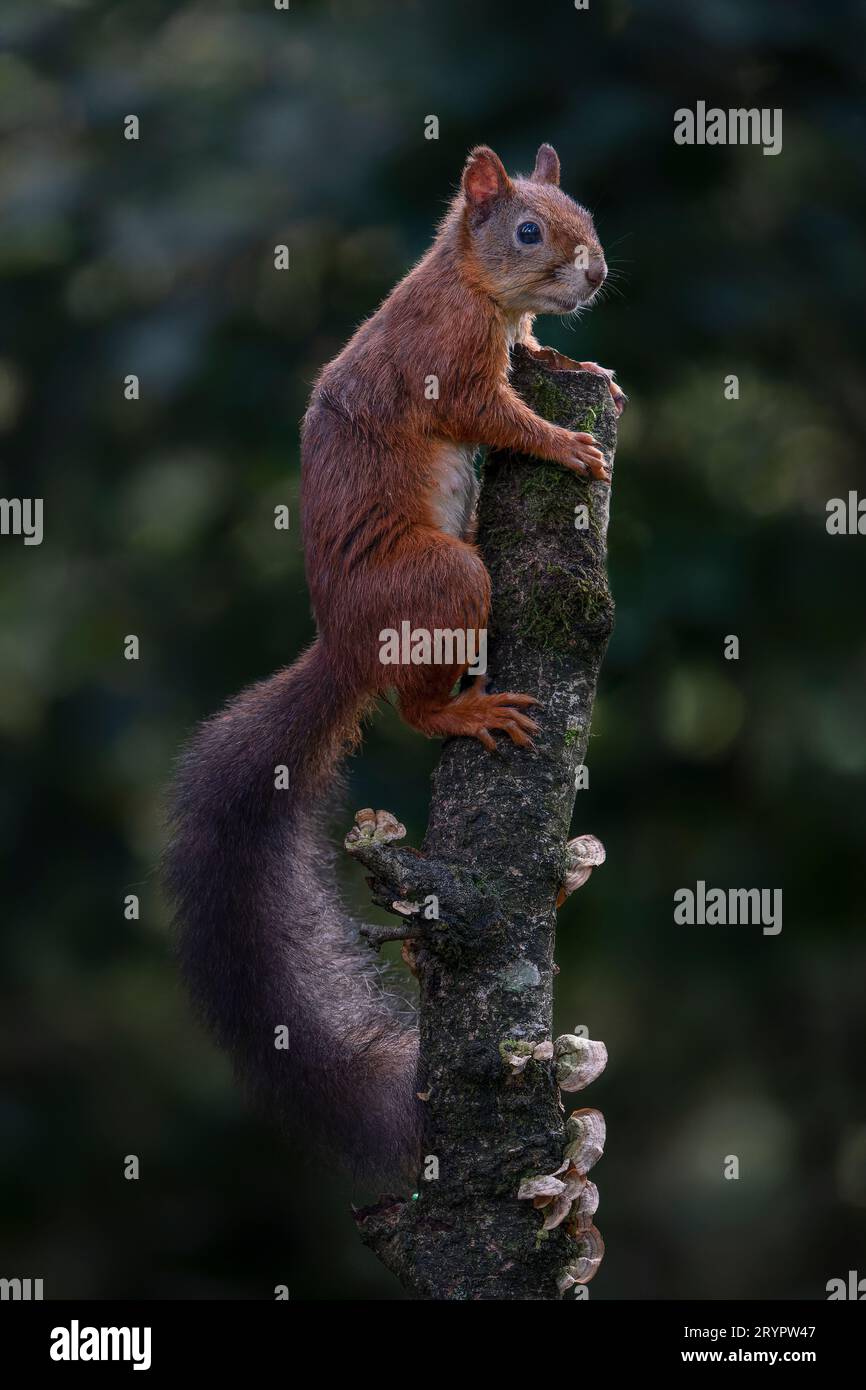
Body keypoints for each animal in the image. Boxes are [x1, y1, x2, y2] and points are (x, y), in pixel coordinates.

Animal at [165, 144, 622, 1186]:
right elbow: (497, 416)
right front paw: (567, 444)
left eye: (584, 214)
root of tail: (344, 647)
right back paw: (463, 712)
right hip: (443, 578)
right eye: (529, 230)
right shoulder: (446, 362)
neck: (471, 285)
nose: (594, 273)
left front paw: (576, 364)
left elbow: (534, 361)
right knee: (413, 705)